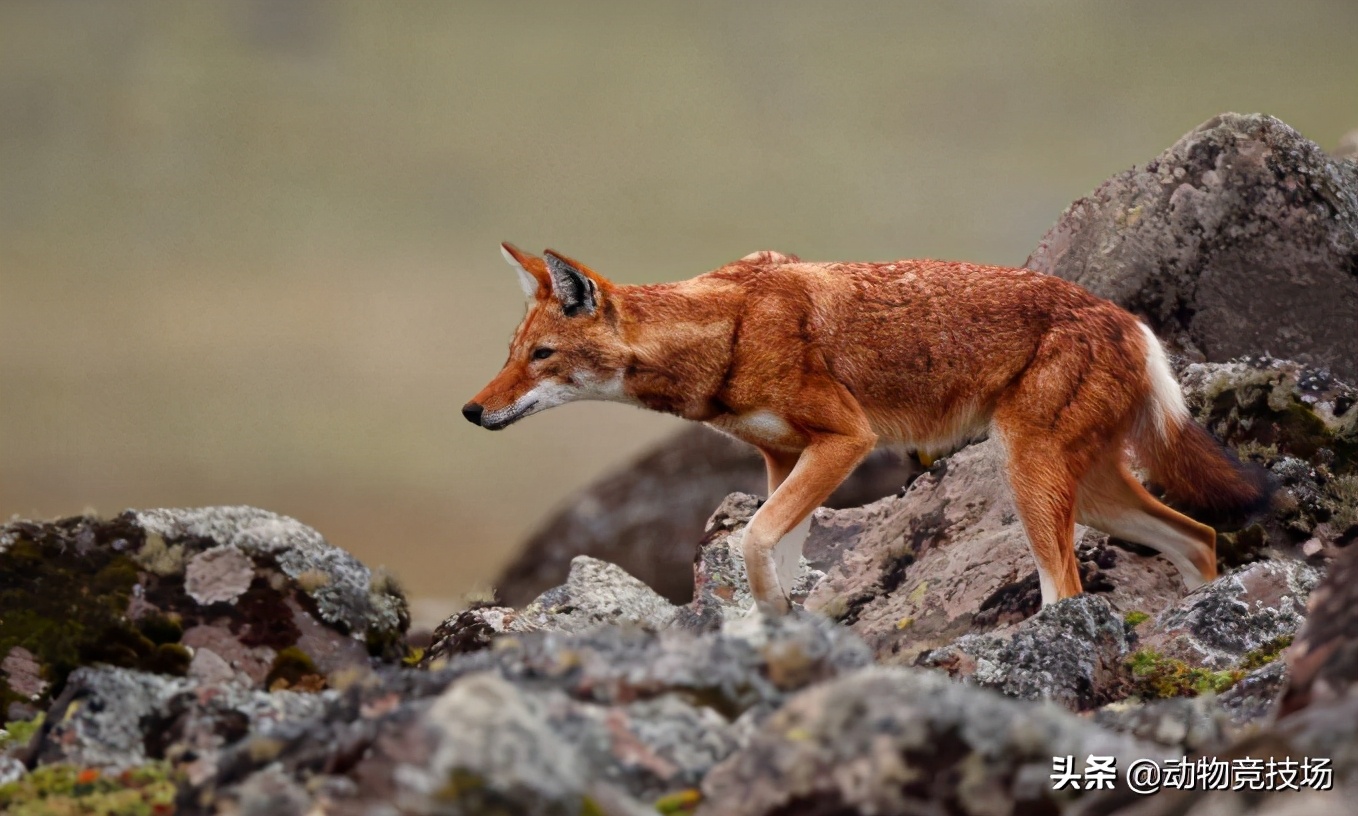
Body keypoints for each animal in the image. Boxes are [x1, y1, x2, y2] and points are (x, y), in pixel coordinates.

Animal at [464, 244, 1270, 615]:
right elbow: (775, 551)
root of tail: (1130, 321)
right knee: (1200, 537)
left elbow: (751, 541)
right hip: (1093, 493)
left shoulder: (845, 443)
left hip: (1033, 482)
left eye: (541, 356)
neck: (726, 332)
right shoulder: (782, 462)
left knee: (1069, 586)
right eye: (510, 352)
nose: (470, 412)